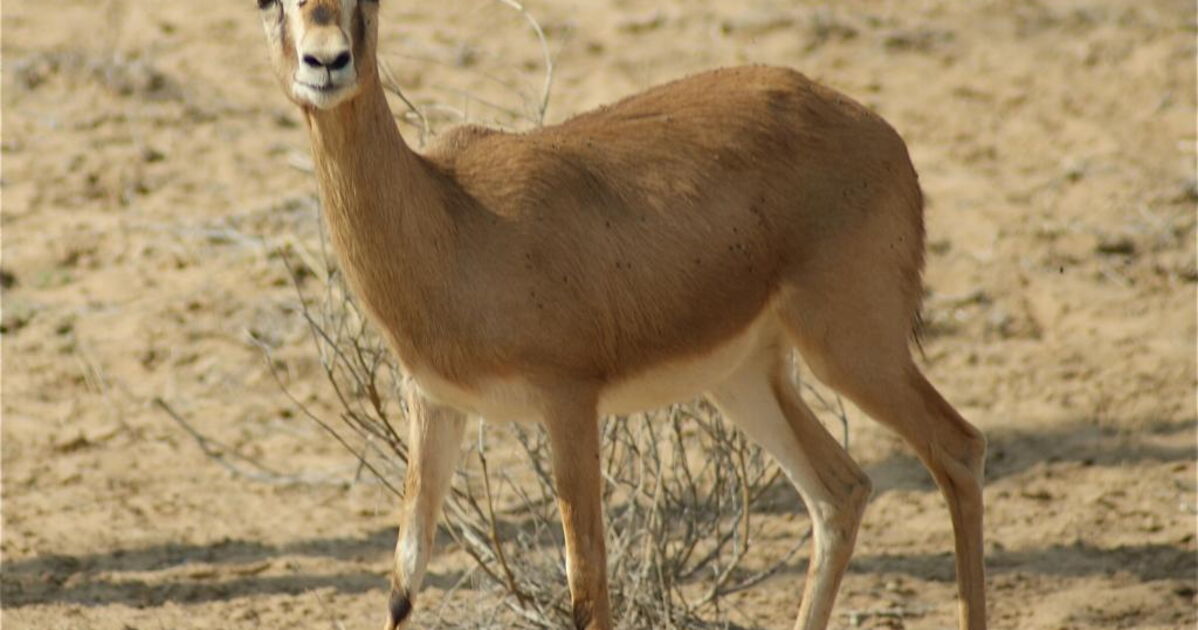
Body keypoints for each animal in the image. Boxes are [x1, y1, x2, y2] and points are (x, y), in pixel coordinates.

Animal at [255, 1, 988, 629]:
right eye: (269, 2)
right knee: (842, 492)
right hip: (745, 377)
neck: (453, 221)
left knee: (958, 448)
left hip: (853, 351)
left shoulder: (569, 402)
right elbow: (404, 580)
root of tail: (880, 133)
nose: (328, 62)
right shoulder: (436, 405)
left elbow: (587, 590)